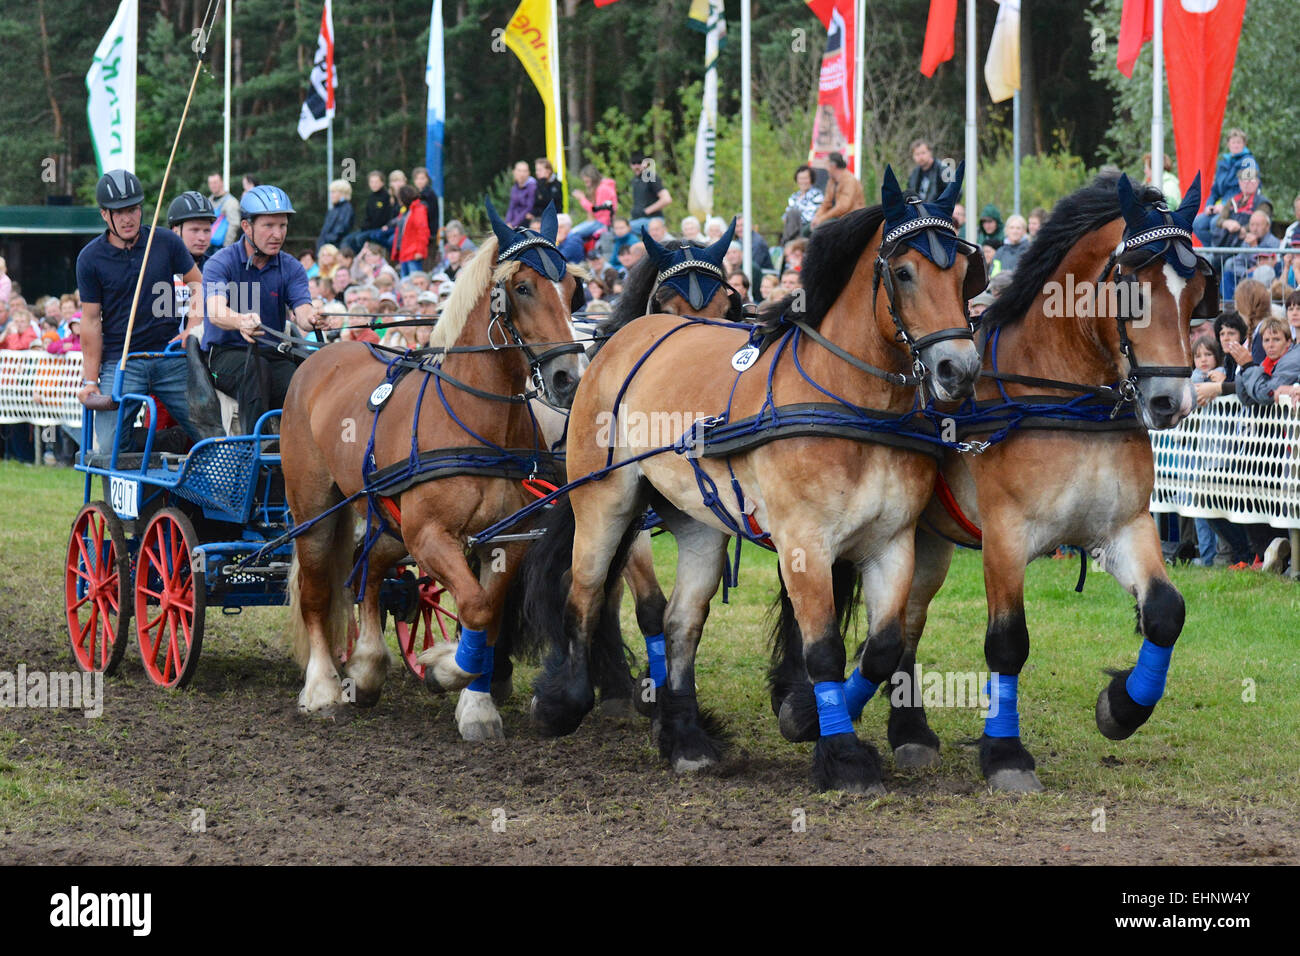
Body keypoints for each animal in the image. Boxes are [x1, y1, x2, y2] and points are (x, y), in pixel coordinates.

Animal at [279, 200, 586, 740]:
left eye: (572, 288)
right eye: (523, 287)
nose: (569, 377)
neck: (476, 420)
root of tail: (320, 354)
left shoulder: (505, 540)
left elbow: (487, 614)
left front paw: (476, 702)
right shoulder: (430, 535)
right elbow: (477, 609)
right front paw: (444, 668)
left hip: (389, 518)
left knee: (368, 567)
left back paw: (367, 667)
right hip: (315, 509)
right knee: (317, 589)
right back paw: (321, 687)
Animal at [518, 166, 986, 793]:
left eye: (962, 272)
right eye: (905, 272)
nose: (958, 369)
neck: (852, 404)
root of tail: (621, 339)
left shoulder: (892, 541)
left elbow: (883, 646)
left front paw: (807, 717)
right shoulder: (804, 544)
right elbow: (824, 650)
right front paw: (842, 755)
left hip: (698, 522)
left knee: (681, 623)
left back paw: (686, 738)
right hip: (604, 501)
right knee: (586, 592)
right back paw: (563, 703)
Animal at [767, 173, 1219, 791]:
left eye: (1196, 290)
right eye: (1133, 287)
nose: (1171, 401)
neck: (1060, 396)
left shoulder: (1125, 526)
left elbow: (1166, 613)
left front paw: (1122, 707)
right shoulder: (1006, 536)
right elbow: (1008, 642)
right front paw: (1005, 754)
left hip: (922, 539)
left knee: (905, 621)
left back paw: (907, 730)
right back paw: (810, 708)